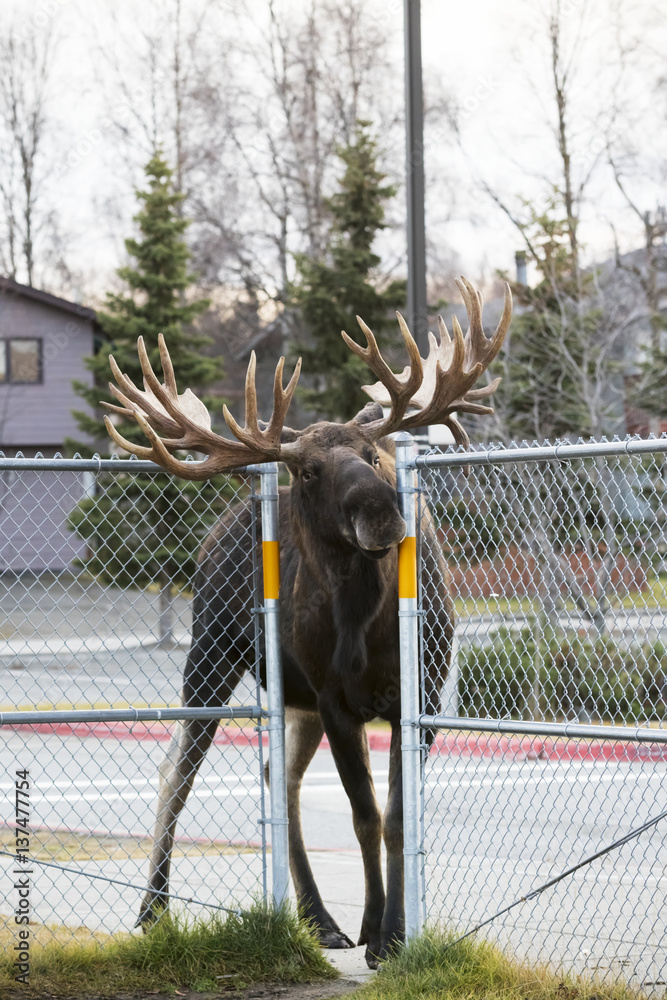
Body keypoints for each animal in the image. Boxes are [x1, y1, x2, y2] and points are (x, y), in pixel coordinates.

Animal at [103, 276, 511, 968]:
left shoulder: (419, 694)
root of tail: (220, 524)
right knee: (178, 767)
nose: (381, 511)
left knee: (279, 777)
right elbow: (365, 816)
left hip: (292, 696)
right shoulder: (336, 697)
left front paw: (393, 933)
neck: (368, 624)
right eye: (309, 469)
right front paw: (379, 931)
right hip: (213, 654)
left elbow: (398, 815)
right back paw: (153, 909)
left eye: (373, 454)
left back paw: (318, 919)